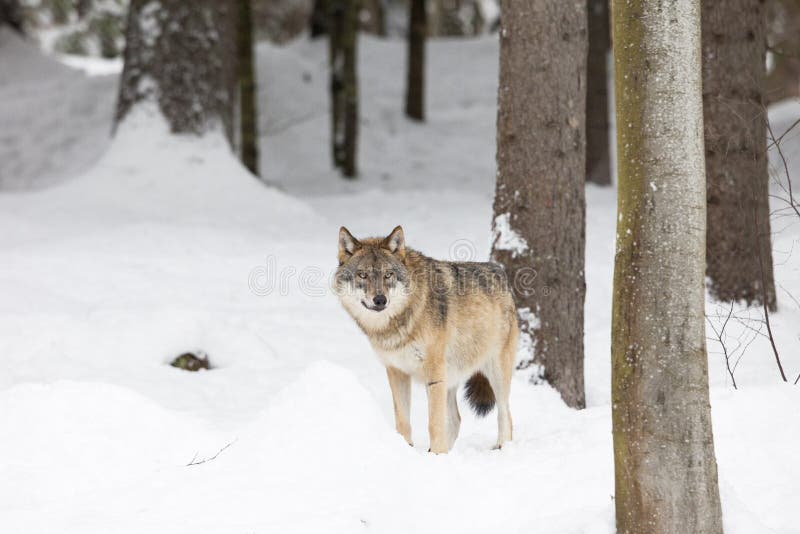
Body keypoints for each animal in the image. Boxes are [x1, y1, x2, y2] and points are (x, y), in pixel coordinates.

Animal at [334, 225, 517, 453]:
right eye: (362, 275)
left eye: (388, 275)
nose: (380, 300)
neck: (398, 324)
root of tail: (500, 273)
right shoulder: (397, 372)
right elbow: (403, 420)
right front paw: (409, 450)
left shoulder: (434, 373)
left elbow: (434, 424)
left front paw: (437, 455)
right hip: (451, 378)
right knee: (456, 420)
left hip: (494, 373)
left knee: (505, 415)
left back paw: (501, 447)